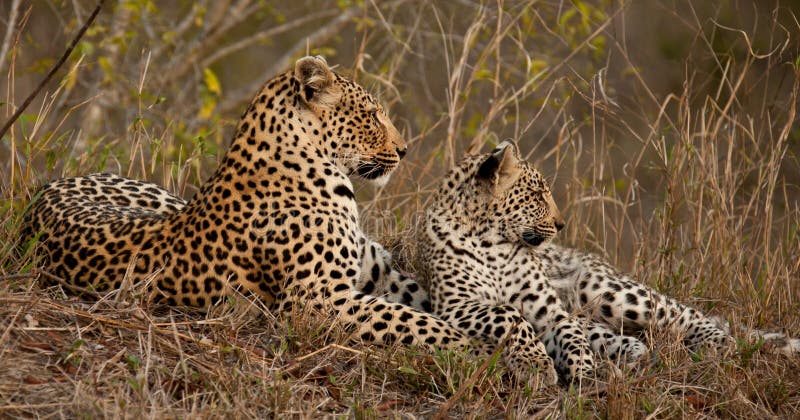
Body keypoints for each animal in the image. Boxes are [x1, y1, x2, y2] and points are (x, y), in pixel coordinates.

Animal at [17, 56, 482, 361]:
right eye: (370, 115)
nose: (404, 151)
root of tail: (41, 193)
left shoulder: (378, 273)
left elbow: (427, 304)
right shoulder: (318, 303)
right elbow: (418, 323)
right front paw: (476, 348)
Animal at [418, 140, 798, 383]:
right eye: (537, 194)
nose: (561, 224)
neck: (493, 242)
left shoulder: (551, 312)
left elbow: (570, 336)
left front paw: (584, 370)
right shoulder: (456, 305)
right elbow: (509, 313)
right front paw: (538, 363)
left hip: (607, 290)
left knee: (684, 313)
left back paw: (721, 342)